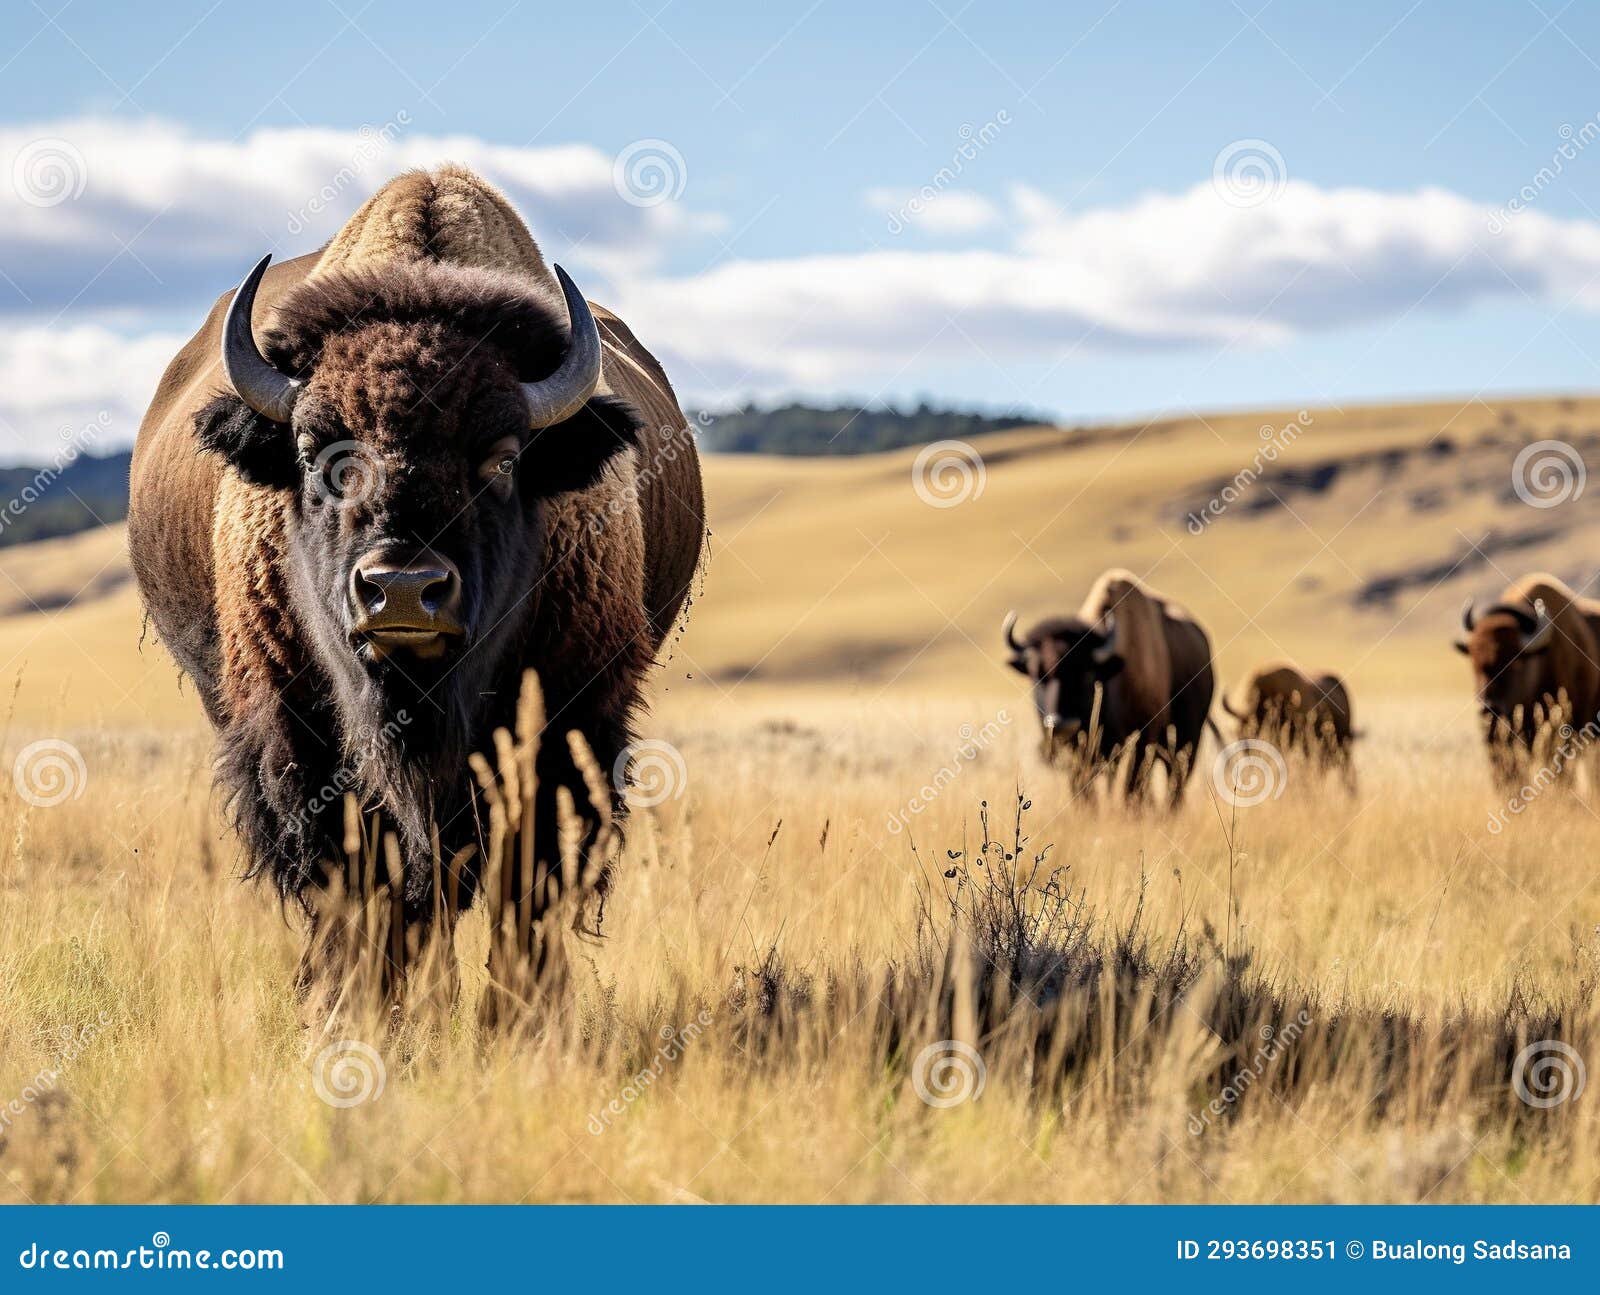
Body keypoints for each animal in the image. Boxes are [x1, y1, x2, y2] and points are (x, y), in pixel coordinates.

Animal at [129, 166, 705, 988]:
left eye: (504, 457)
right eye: (315, 453)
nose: (401, 591)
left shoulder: (566, 722)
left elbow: (525, 891)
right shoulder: (303, 734)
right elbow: (359, 884)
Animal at [1003, 569, 1216, 803]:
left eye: (1087, 673)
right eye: (1036, 674)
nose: (1060, 724)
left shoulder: (1142, 738)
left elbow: (1130, 786)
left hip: (1188, 740)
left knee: (1175, 782)